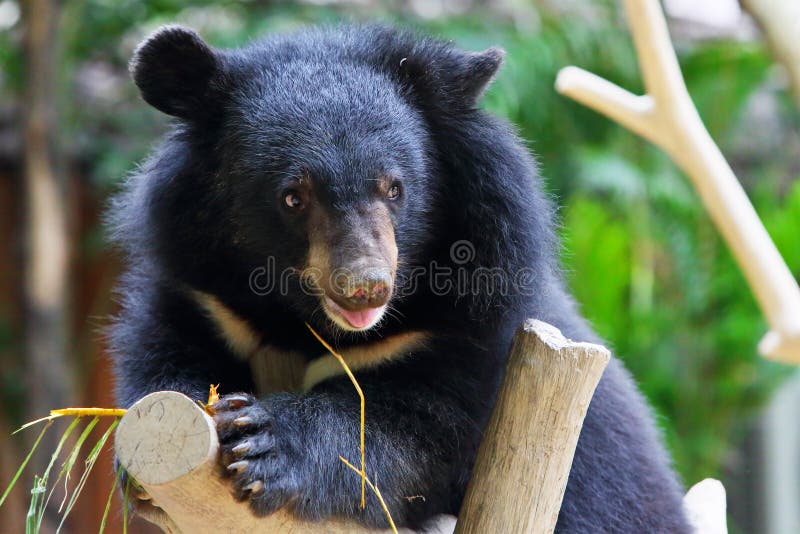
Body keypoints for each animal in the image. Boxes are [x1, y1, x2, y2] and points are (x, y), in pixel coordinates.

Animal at [108, 24, 691, 532]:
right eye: (293, 197)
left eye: (394, 188)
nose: (365, 286)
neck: (302, 322)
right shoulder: (206, 295)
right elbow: (163, 362)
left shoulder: (474, 334)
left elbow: (414, 431)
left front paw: (264, 443)